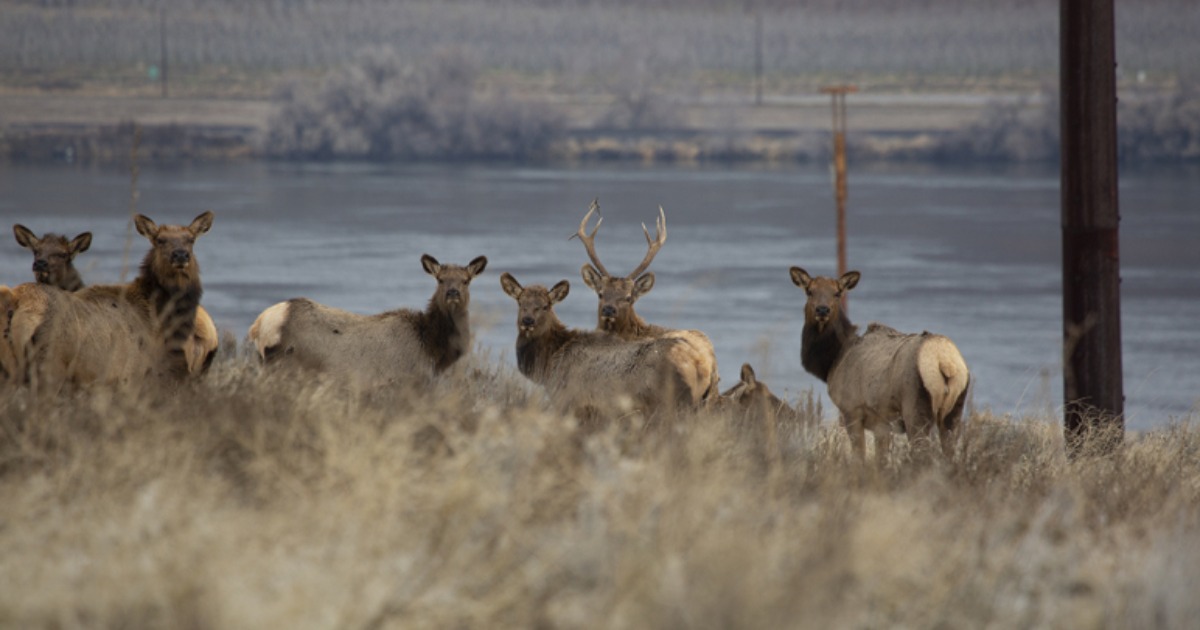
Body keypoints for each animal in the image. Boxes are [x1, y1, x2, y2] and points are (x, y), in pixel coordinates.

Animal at [248, 254, 487, 389]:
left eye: (466, 280)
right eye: (440, 279)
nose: (453, 292)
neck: (432, 348)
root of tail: (258, 325)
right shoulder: (406, 382)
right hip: (284, 369)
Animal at [499, 272, 704, 423]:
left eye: (545, 306)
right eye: (520, 302)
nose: (527, 321)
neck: (549, 361)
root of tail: (699, 365)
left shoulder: (567, 399)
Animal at [790, 267, 970, 463]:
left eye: (837, 293)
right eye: (809, 291)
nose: (822, 310)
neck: (833, 360)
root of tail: (944, 361)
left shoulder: (851, 409)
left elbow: (859, 456)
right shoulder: (881, 423)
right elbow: (881, 459)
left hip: (916, 408)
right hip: (954, 411)